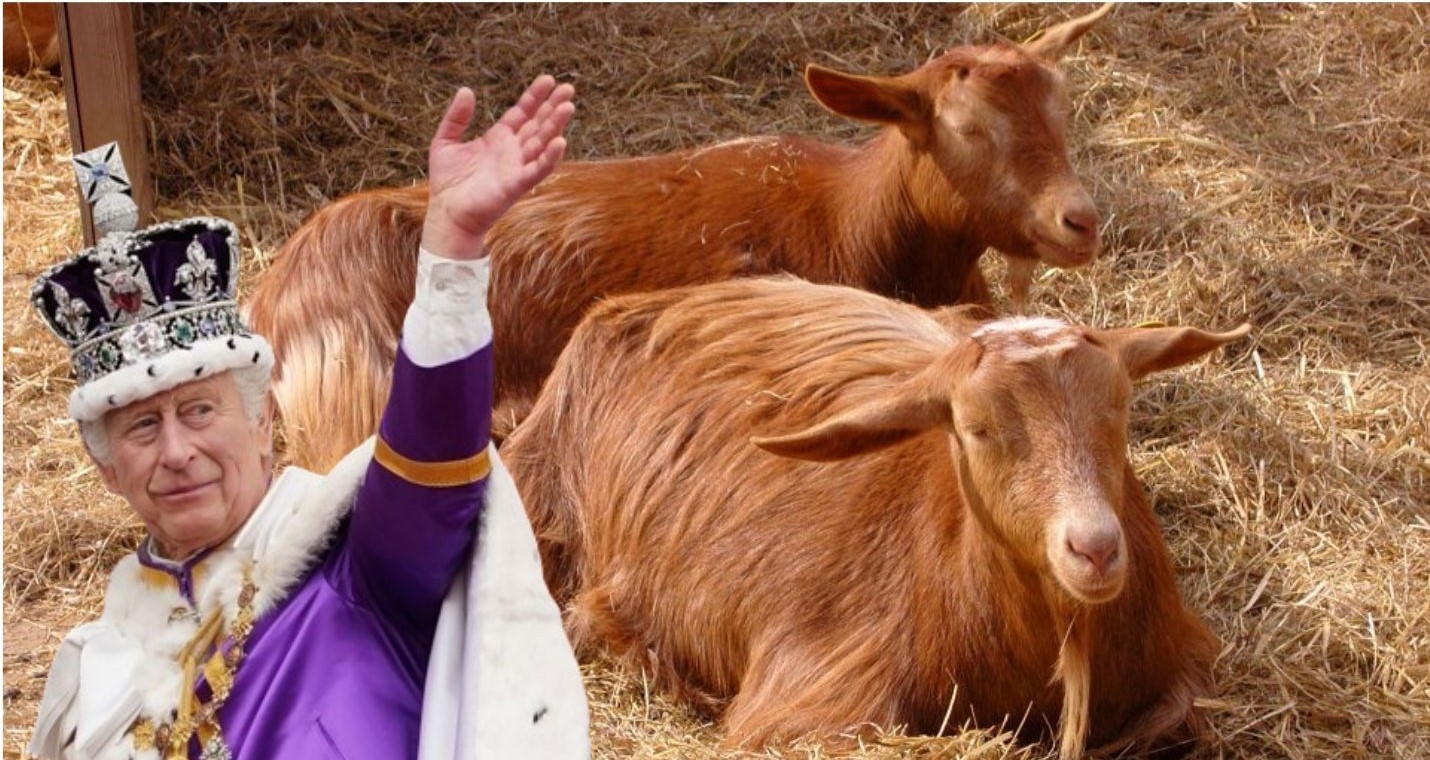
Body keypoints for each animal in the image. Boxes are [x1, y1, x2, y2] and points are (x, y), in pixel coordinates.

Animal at [248, 5, 1113, 471]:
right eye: (966, 128)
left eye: (1063, 106)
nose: (1079, 219)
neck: (853, 219)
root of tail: (270, 290)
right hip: (358, 377)